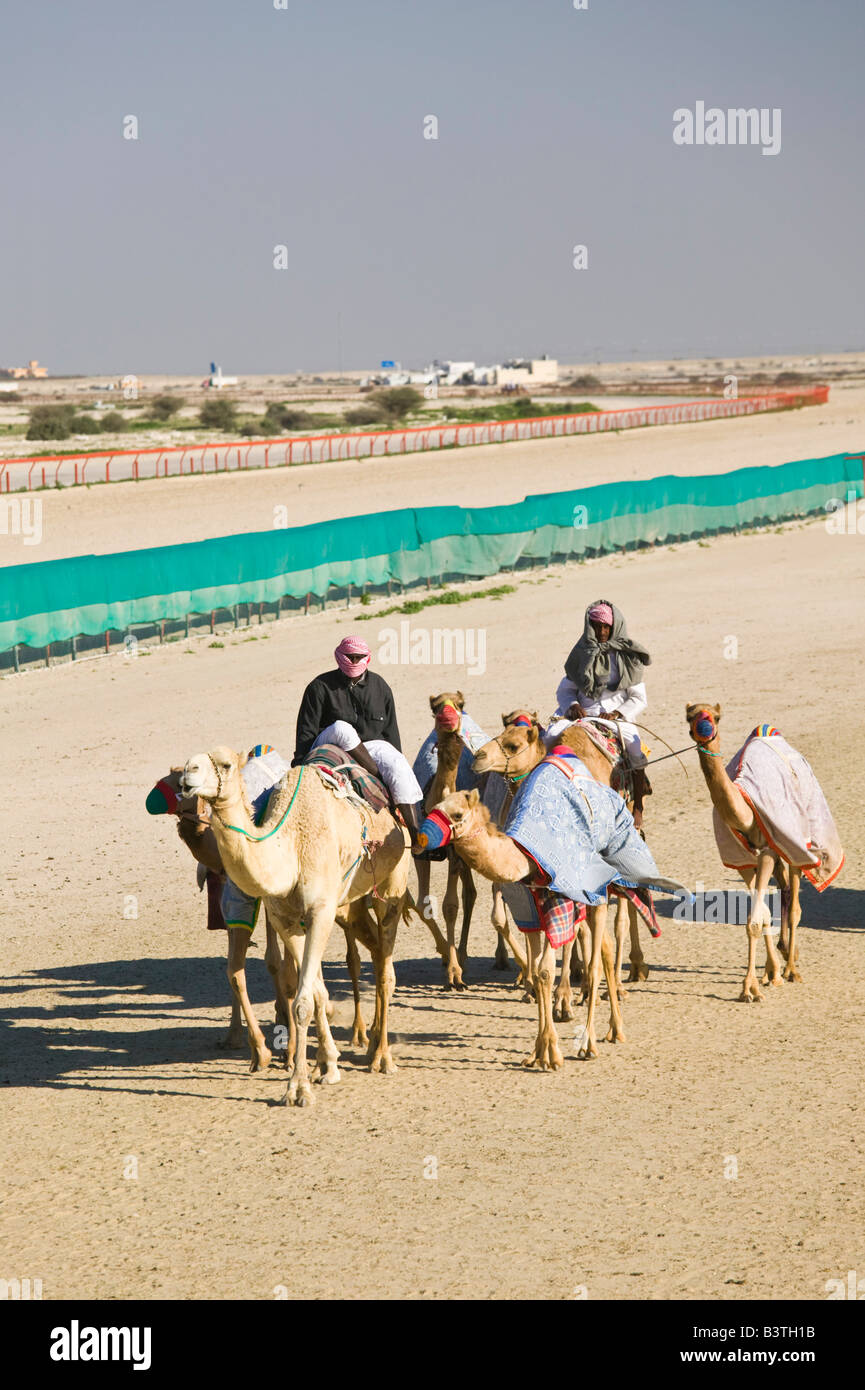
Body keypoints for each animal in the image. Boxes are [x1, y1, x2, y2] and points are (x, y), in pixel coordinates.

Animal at [181, 746, 411, 1105]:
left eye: (226, 764)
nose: (187, 775)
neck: (290, 846)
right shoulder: (287, 920)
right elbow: (314, 992)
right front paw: (325, 1067)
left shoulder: (321, 911)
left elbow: (302, 1002)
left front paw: (298, 1088)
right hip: (354, 903)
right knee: (374, 954)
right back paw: (370, 1041)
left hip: (392, 886)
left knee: (387, 971)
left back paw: (382, 1058)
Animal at [420, 789, 625, 1068]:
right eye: (433, 806)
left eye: (458, 814)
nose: (422, 836)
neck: (527, 863)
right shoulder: (532, 916)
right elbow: (538, 974)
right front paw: (537, 1053)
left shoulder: (555, 910)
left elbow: (547, 971)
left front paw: (552, 1055)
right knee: (604, 947)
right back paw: (615, 1029)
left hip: (597, 896)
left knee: (594, 967)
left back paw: (589, 1043)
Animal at [684, 702, 837, 1001]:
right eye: (690, 717)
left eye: (716, 717)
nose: (704, 728)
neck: (744, 815)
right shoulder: (743, 860)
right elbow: (762, 913)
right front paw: (767, 974)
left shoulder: (767, 850)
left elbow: (755, 920)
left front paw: (750, 987)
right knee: (785, 891)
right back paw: (782, 959)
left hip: (797, 841)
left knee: (796, 902)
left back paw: (792, 969)